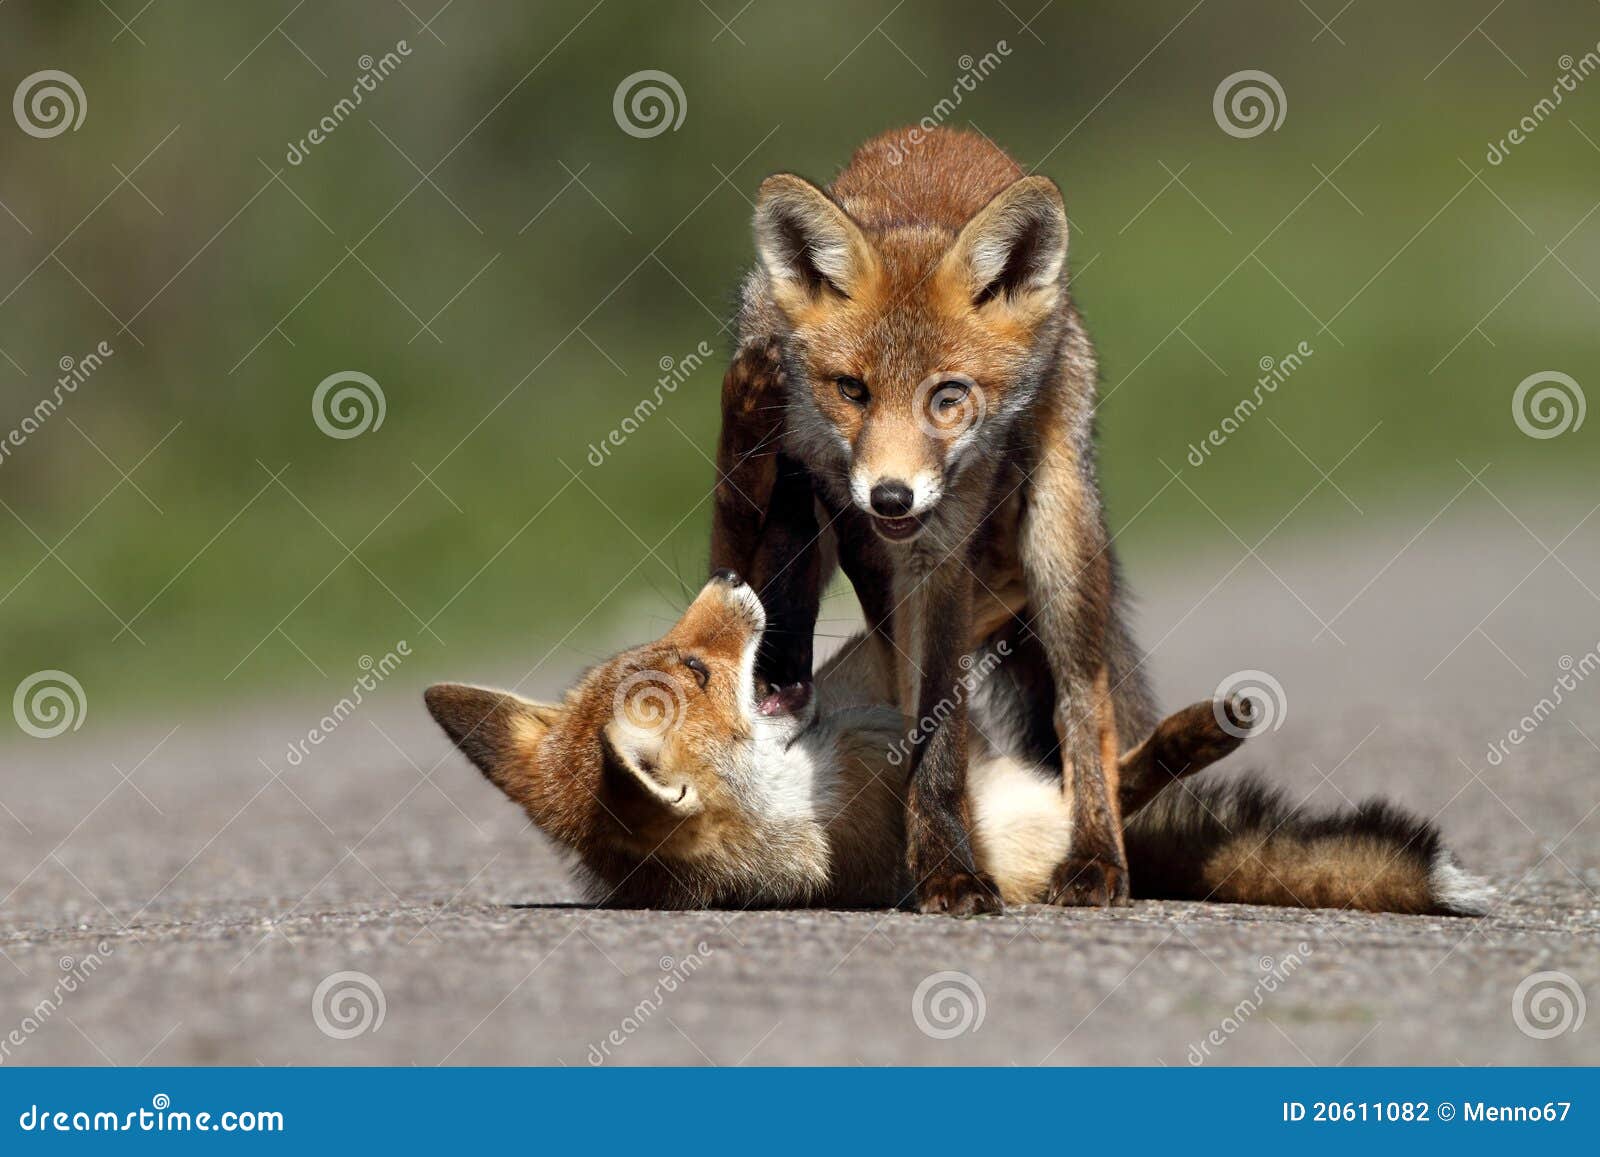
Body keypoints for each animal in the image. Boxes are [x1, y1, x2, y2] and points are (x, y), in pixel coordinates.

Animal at [423, 572, 1490, 916]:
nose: (729, 579)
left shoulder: (866, 683)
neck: (801, 767)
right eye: (690, 667)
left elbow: (926, 621)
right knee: (1116, 799)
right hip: (1039, 832)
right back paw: (1192, 743)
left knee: (1109, 775)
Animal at [723, 126, 1168, 914]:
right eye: (852, 390)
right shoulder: (816, 496)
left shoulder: (941, 556)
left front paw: (947, 865)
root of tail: (945, 136)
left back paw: (1094, 857)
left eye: (948, 396)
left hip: (1059, 540)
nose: (891, 498)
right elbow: (899, 699)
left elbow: (941, 730)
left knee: (1085, 705)